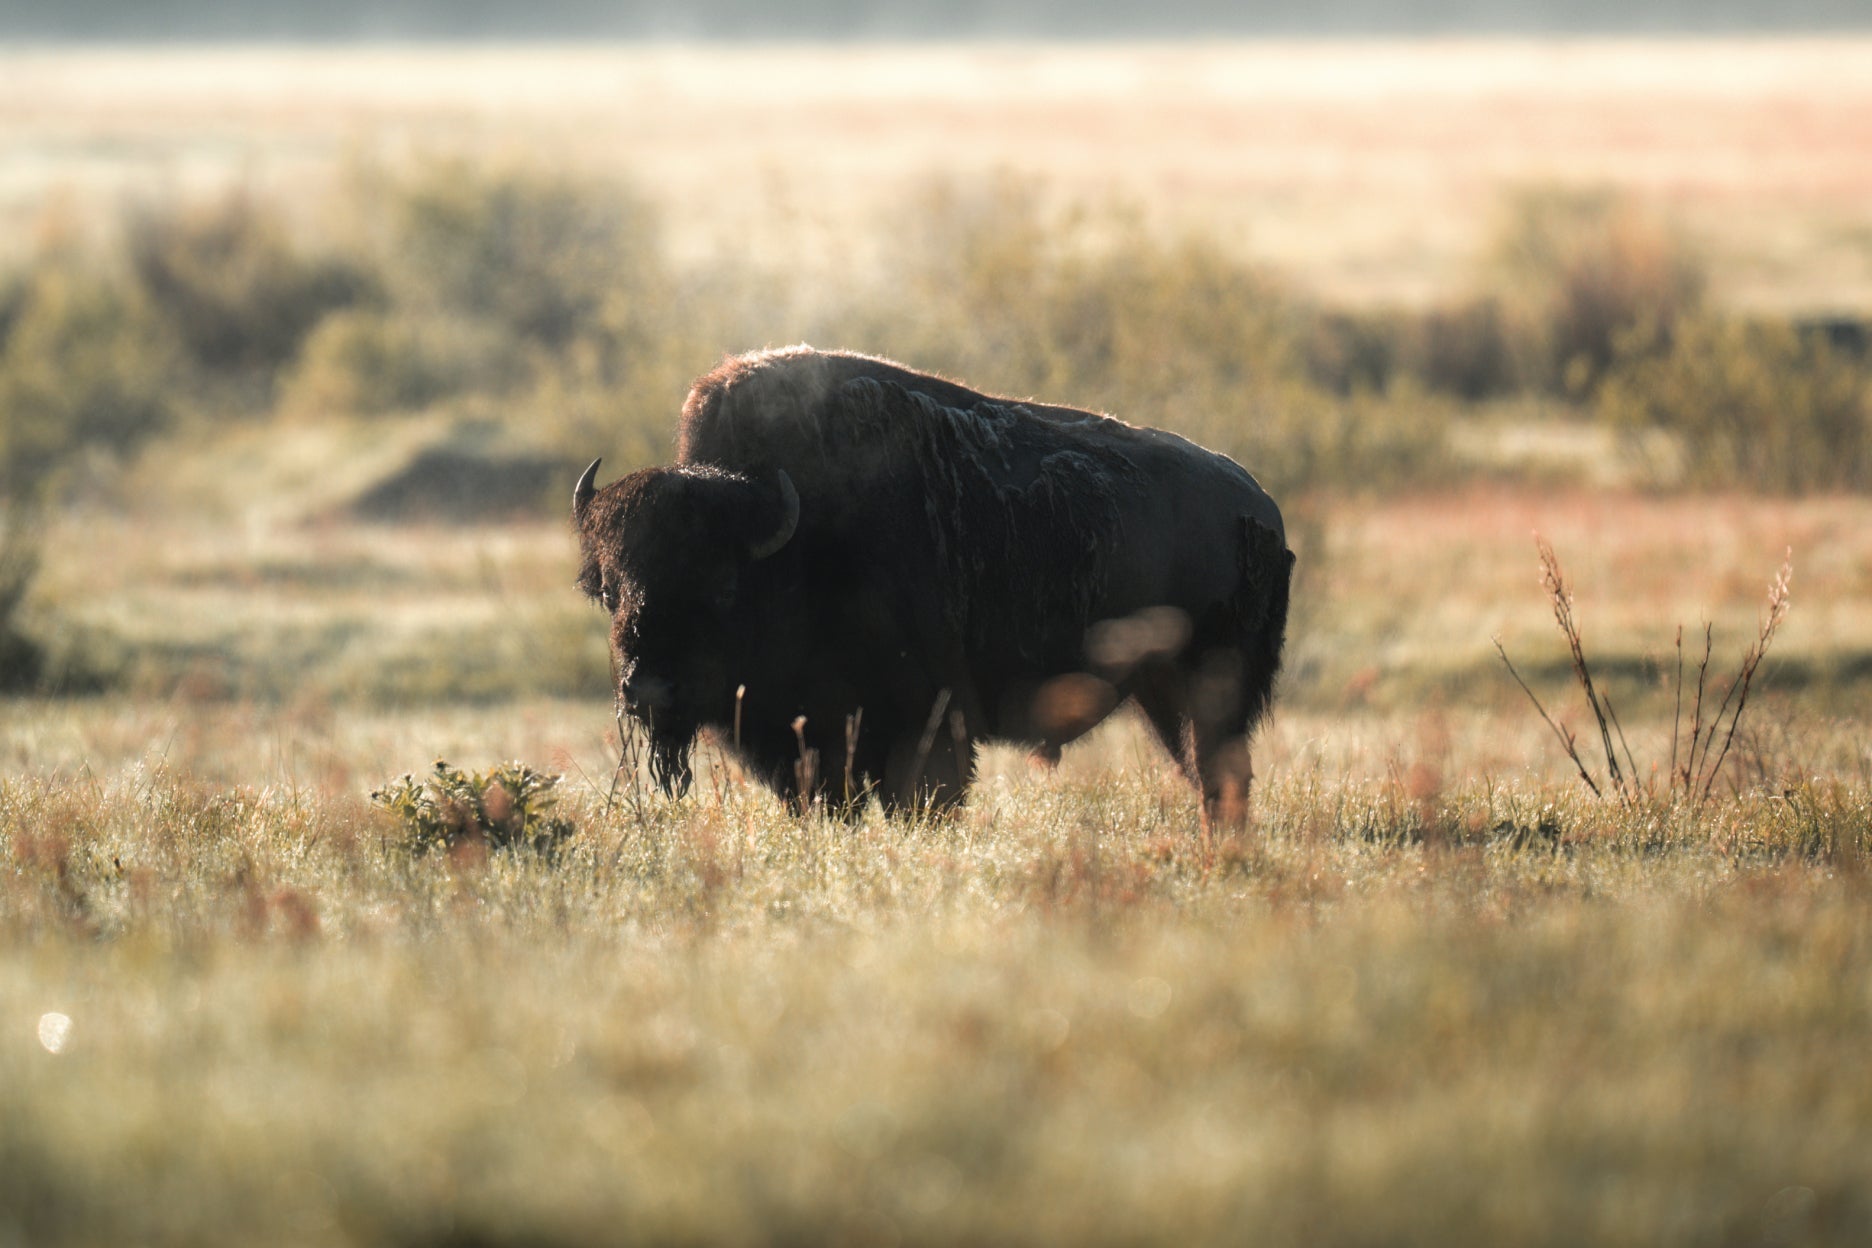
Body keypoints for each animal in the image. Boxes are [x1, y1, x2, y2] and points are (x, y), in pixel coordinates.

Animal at [573, 346, 1293, 829]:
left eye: (723, 584)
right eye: (609, 591)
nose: (646, 691)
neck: (797, 538)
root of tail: (1259, 504)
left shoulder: (927, 725)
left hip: (1211, 690)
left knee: (1220, 775)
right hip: (1163, 694)